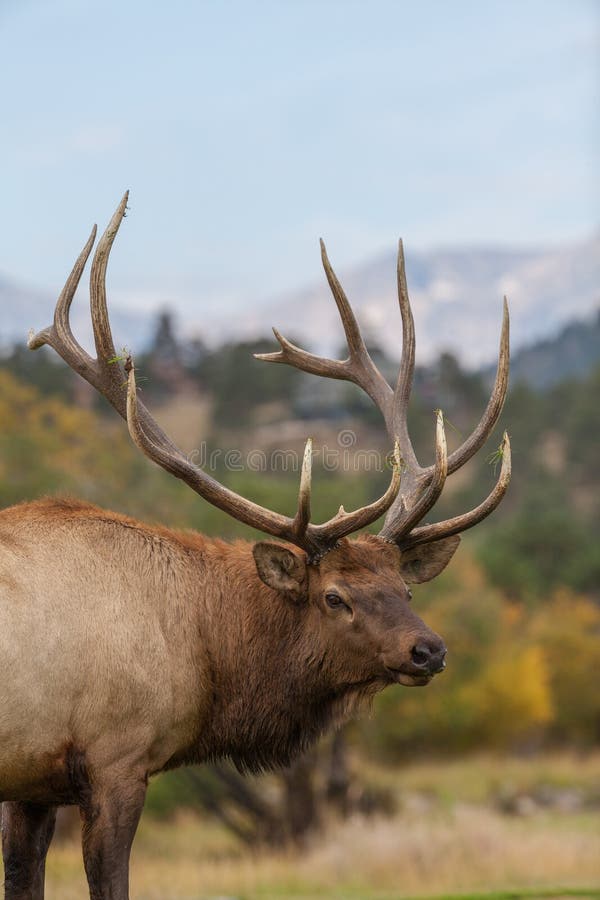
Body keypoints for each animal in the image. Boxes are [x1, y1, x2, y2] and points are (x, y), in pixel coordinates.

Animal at [0, 193, 510, 900]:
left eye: (405, 589)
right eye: (334, 597)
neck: (204, 658)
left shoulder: (33, 781)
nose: (428, 650)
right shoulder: (116, 757)